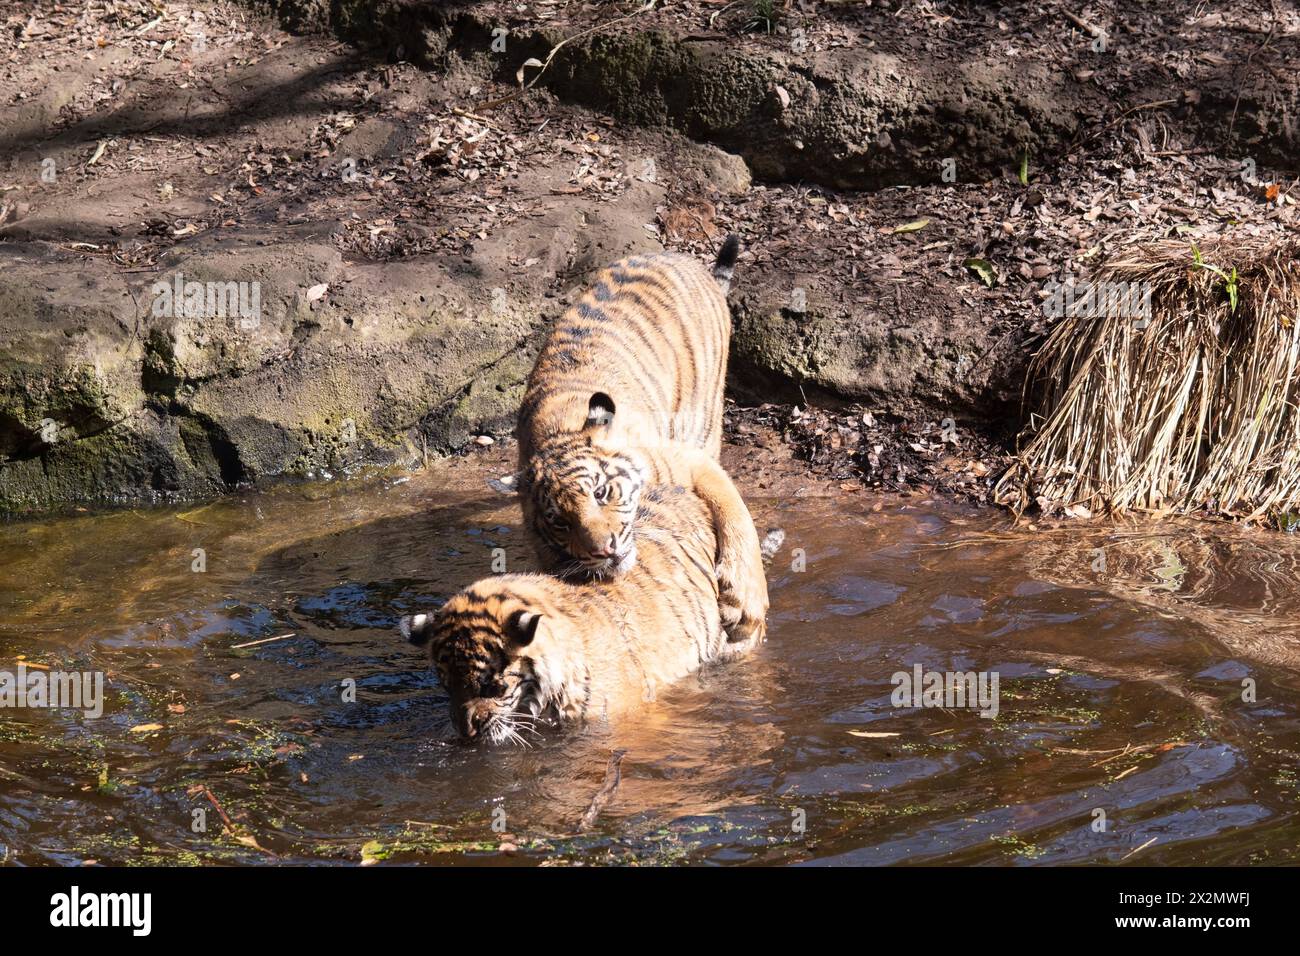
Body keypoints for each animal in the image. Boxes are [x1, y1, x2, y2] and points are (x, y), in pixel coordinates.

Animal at [514, 236, 770, 643]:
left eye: (600, 493)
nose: (605, 550)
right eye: (559, 521)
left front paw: (744, 603)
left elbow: (735, 515)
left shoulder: (690, 462)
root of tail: (686, 260)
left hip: (702, 420)